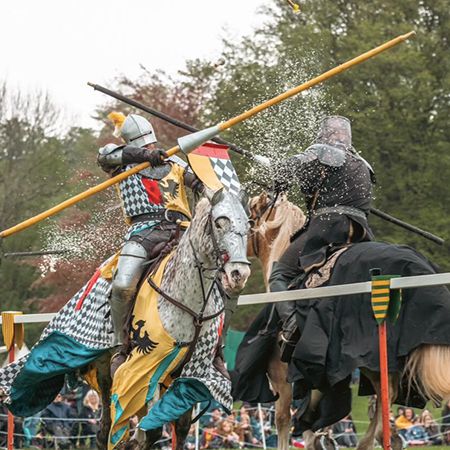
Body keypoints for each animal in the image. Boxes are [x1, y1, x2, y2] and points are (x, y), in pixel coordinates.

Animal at [248, 193, 450, 450]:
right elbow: (312, 420)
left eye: (251, 216)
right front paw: (319, 435)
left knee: (385, 396)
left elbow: (283, 422)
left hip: (369, 360)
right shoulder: (321, 373)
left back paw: (369, 440)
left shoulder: (281, 377)